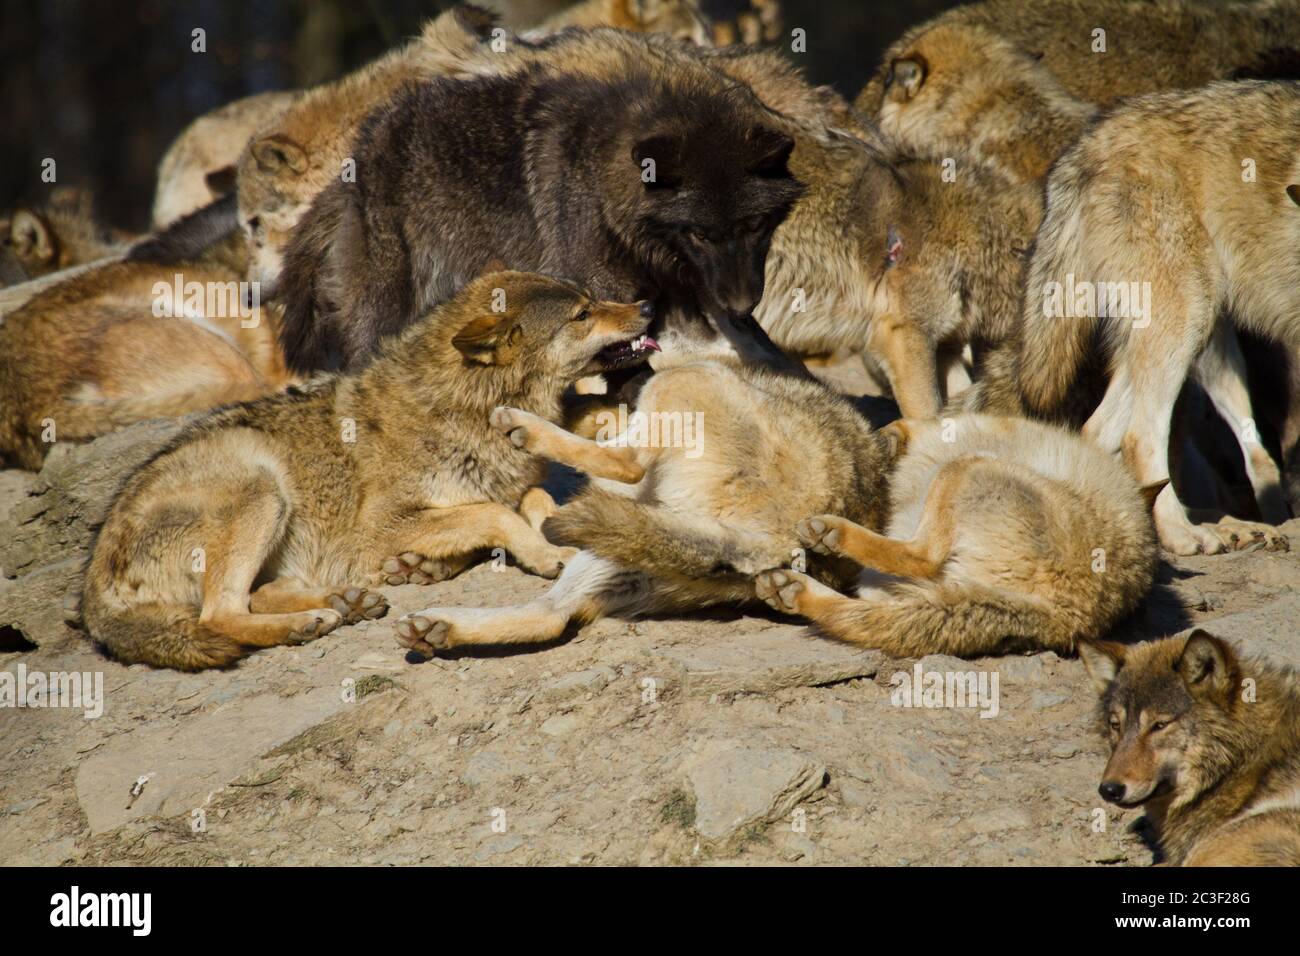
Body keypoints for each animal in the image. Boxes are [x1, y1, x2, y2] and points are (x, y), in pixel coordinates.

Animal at [81, 271, 655, 670]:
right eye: (583, 313)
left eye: (591, 300)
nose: (648, 303)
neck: (468, 408)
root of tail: (90, 593)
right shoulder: (376, 530)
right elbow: (494, 513)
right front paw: (542, 553)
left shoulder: (510, 483)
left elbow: (530, 502)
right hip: (261, 482)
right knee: (220, 613)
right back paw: (310, 620)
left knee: (256, 597)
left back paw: (347, 600)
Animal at [1019, 80, 1300, 555]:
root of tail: (1087, 142)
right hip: (1189, 319)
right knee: (1140, 439)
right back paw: (1184, 535)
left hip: (1185, 332)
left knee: (1097, 432)